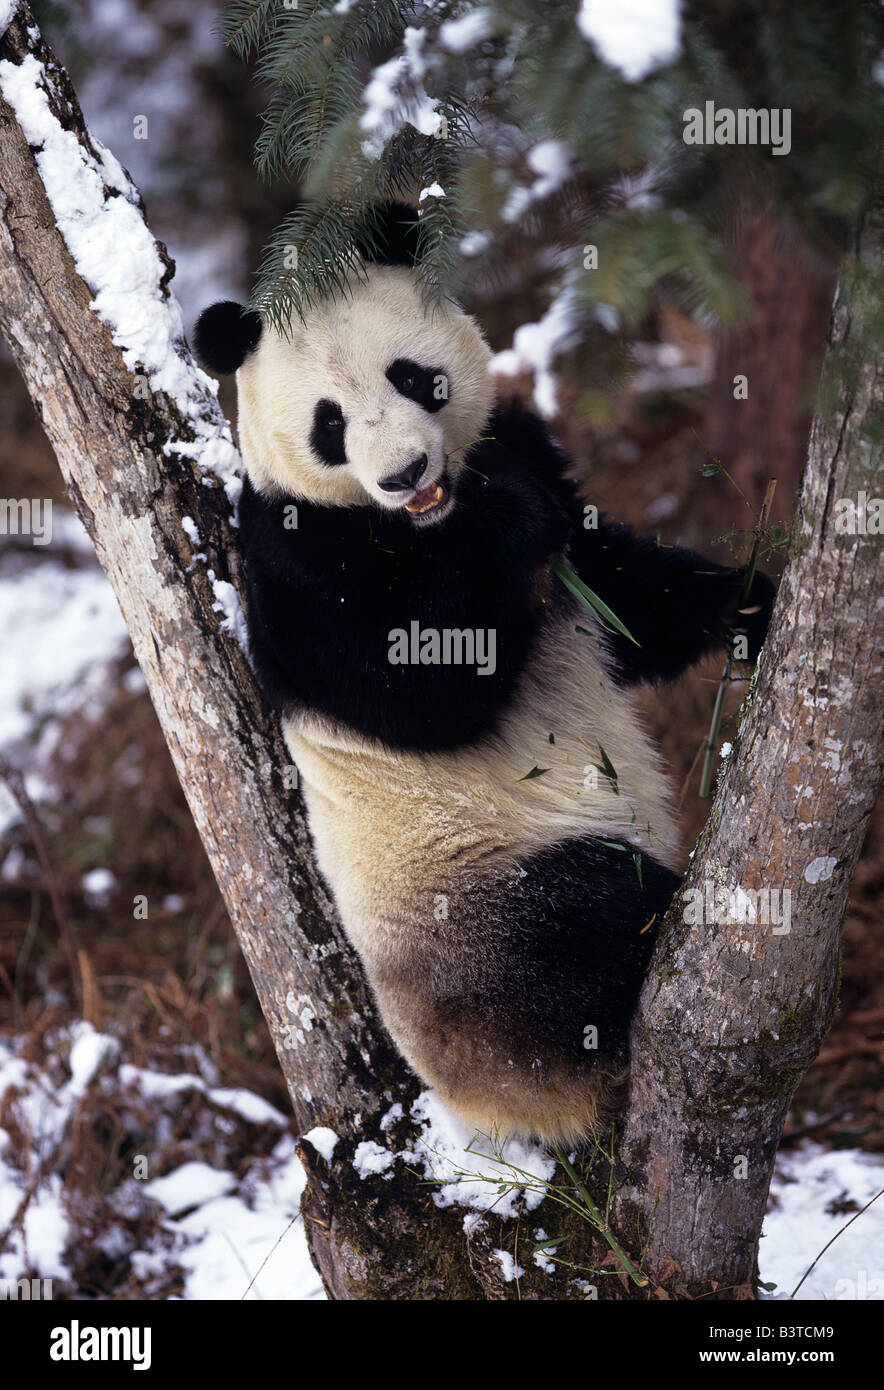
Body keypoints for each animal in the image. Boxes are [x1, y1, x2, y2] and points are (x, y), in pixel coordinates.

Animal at [194, 203, 773, 1146]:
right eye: (329, 423)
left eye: (411, 377)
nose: (404, 474)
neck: (427, 524)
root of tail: (483, 1107)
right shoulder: (296, 560)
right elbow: (419, 693)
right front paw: (506, 518)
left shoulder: (527, 452)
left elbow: (622, 597)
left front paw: (751, 605)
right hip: (478, 915)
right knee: (584, 923)